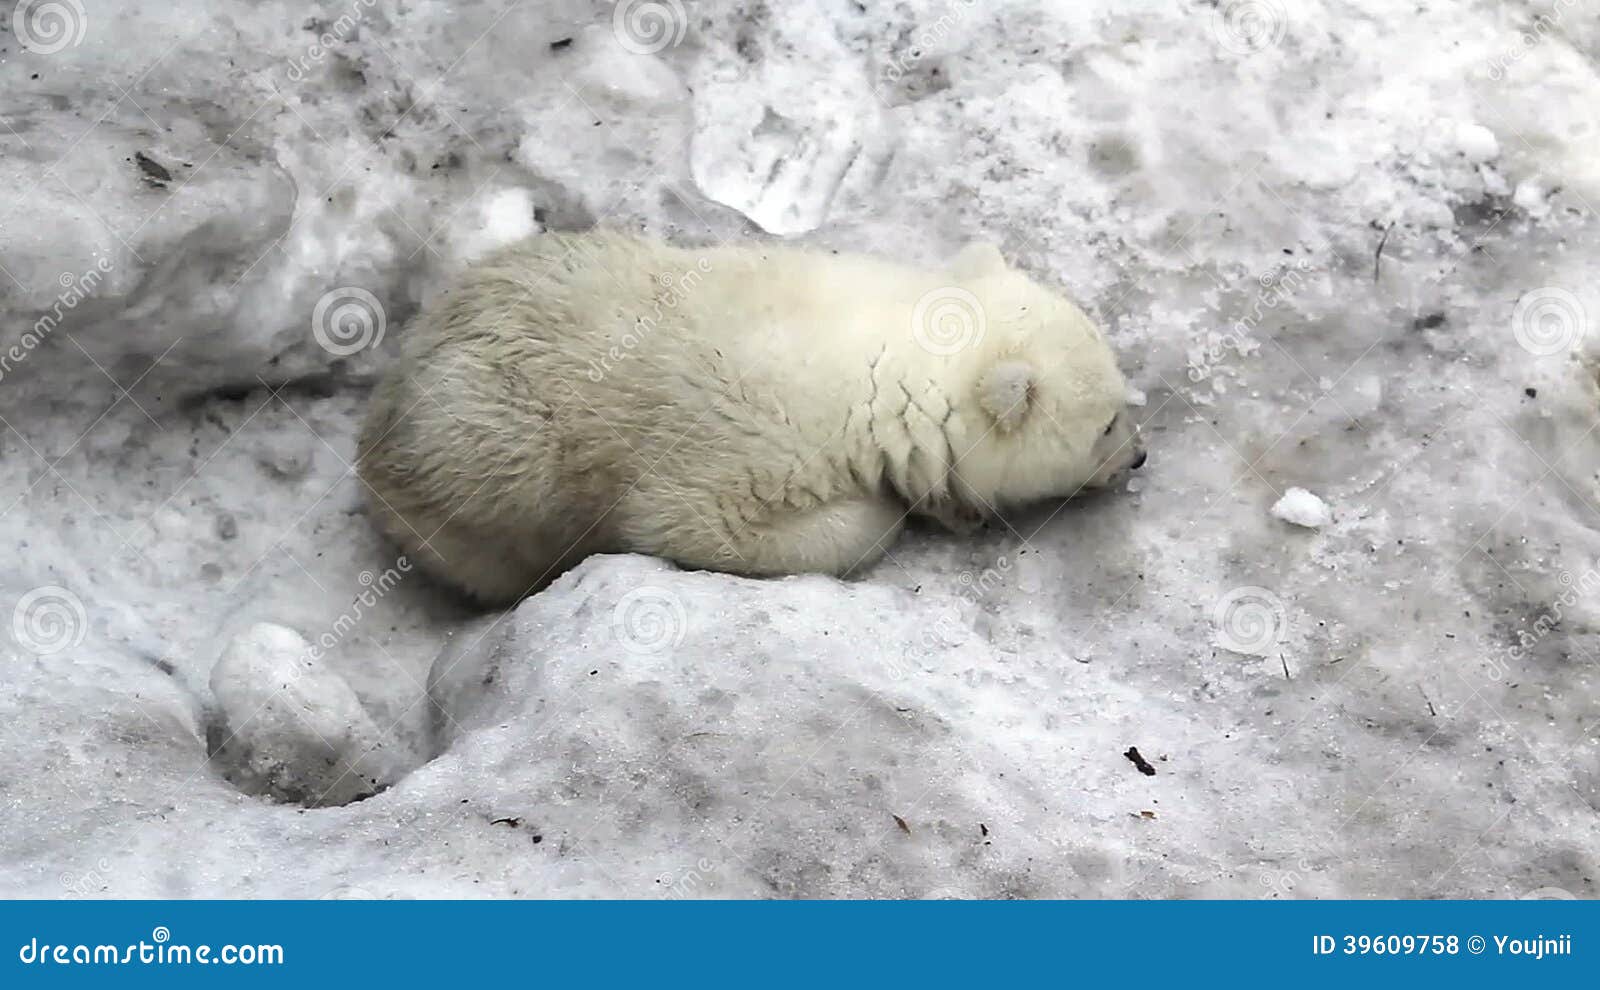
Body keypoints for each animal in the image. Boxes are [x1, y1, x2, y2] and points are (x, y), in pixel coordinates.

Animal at [357, 231, 1145, 605]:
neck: (883, 353)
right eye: (1106, 424)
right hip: (491, 456)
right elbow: (699, 524)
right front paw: (899, 510)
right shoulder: (748, 447)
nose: (1139, 456)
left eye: (1120, 399)